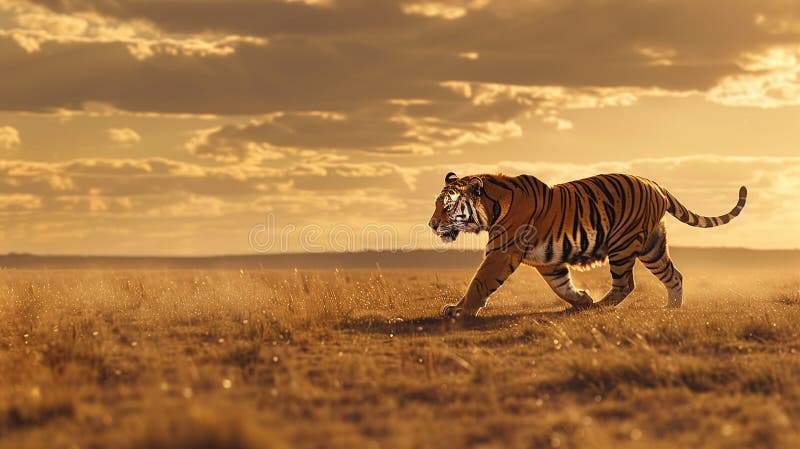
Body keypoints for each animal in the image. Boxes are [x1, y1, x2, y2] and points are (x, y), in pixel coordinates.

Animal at [428, 172, 747, 317]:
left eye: (447, 206)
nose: (431, 224)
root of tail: (656, 183)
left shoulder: (501, 253)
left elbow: (479, 282)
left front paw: (460, 311)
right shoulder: (548, 261)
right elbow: (561, 286)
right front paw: (582, 299)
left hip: (623, 244)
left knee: (625, 284)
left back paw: (603, 305)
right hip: (652, 246)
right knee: (674, 275)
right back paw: (672, 309)